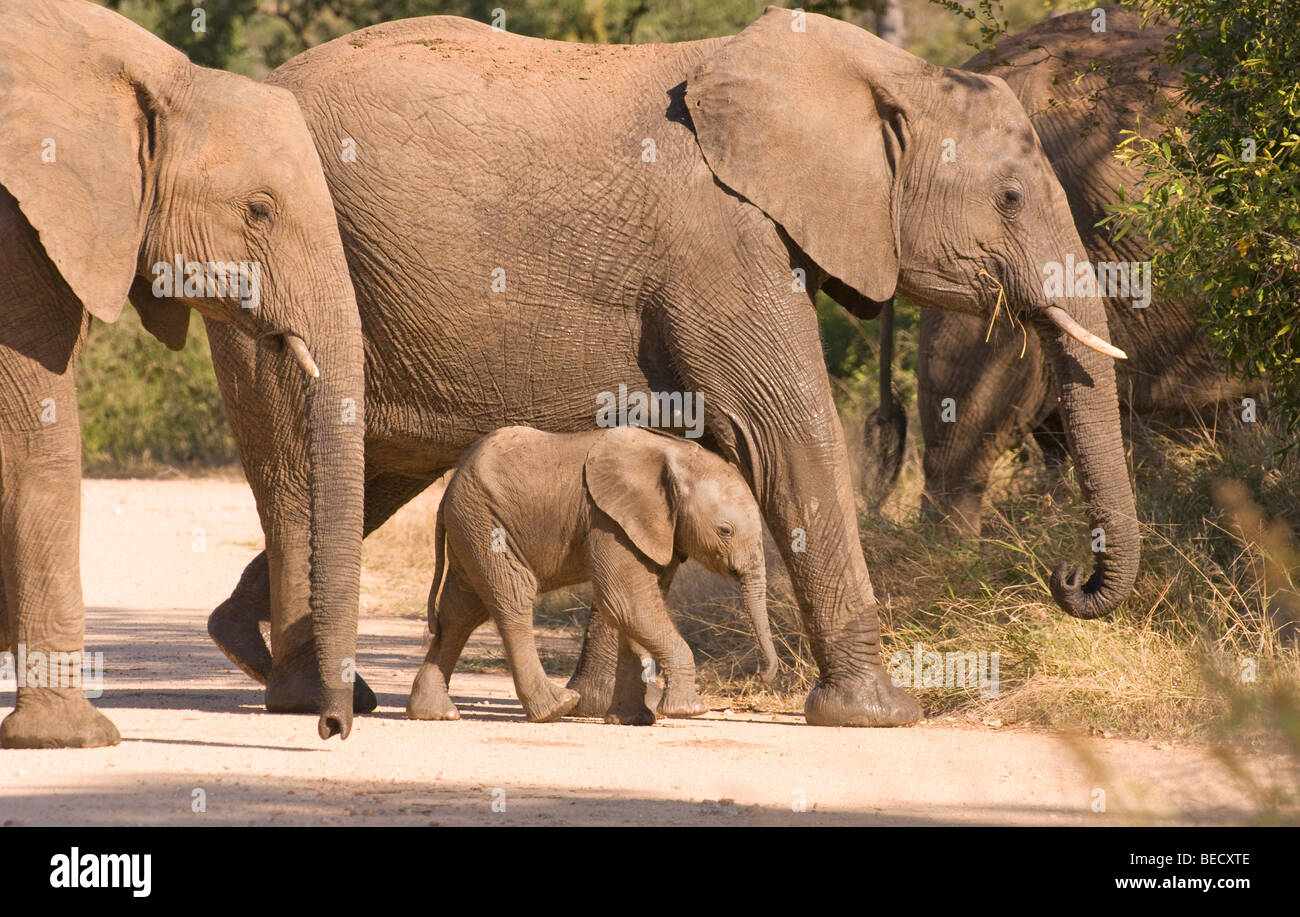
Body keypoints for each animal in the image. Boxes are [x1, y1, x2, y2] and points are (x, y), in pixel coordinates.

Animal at [0, 0, 366, 747]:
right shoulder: (17, 226)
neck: (162, 75)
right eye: (259, 210)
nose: (332, 727)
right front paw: (73, 737)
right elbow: (38, 434)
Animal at [407, 425, 777, 724]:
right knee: (511, 598)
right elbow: (628, 603)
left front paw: (633, 720)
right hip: (485, 524)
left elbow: (640, 609)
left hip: (470, 527)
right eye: (725, 531)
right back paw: (555, 708)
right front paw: (688, 710)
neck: (674, 455)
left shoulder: (655, 529)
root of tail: (447, 493)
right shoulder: (608, 519)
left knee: (460, 612)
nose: (762, 676)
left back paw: (435, 714)